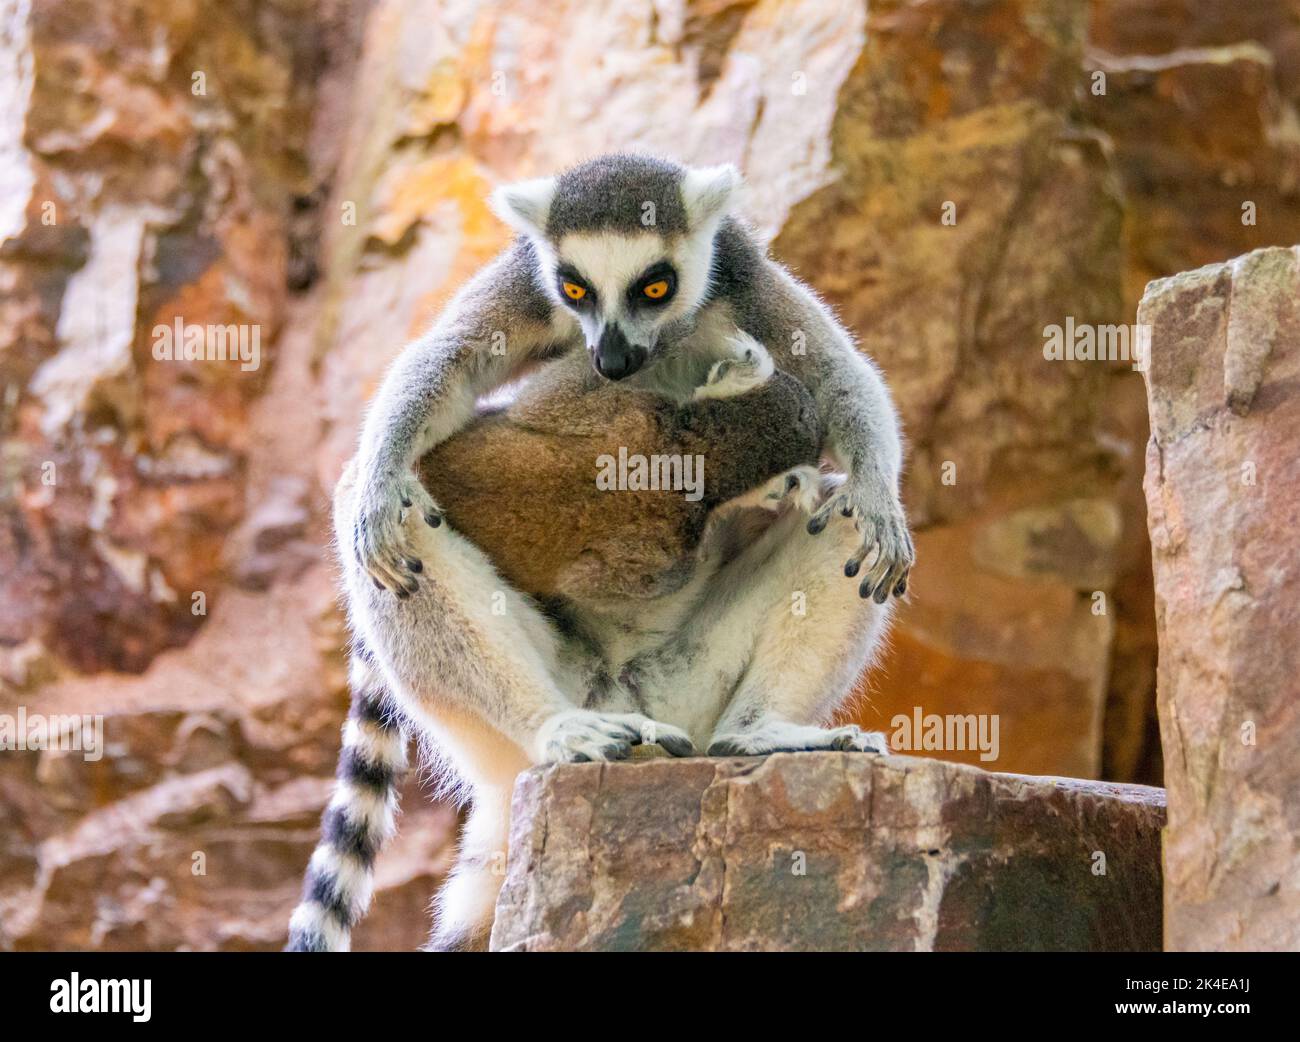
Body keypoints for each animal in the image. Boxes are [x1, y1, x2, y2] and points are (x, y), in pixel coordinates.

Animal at [286, 154, 913, 952]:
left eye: (656, 286)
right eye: (575, 289)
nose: (613, 356)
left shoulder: (737, 273)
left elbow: (837, 375)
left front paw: (871, 495)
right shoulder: (529, 293)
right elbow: (443, 369)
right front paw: (380, 477)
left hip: (690, 693)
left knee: (845, 526)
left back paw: (762, 729)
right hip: (529, 701)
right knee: (406, 533)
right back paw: (557, 725)